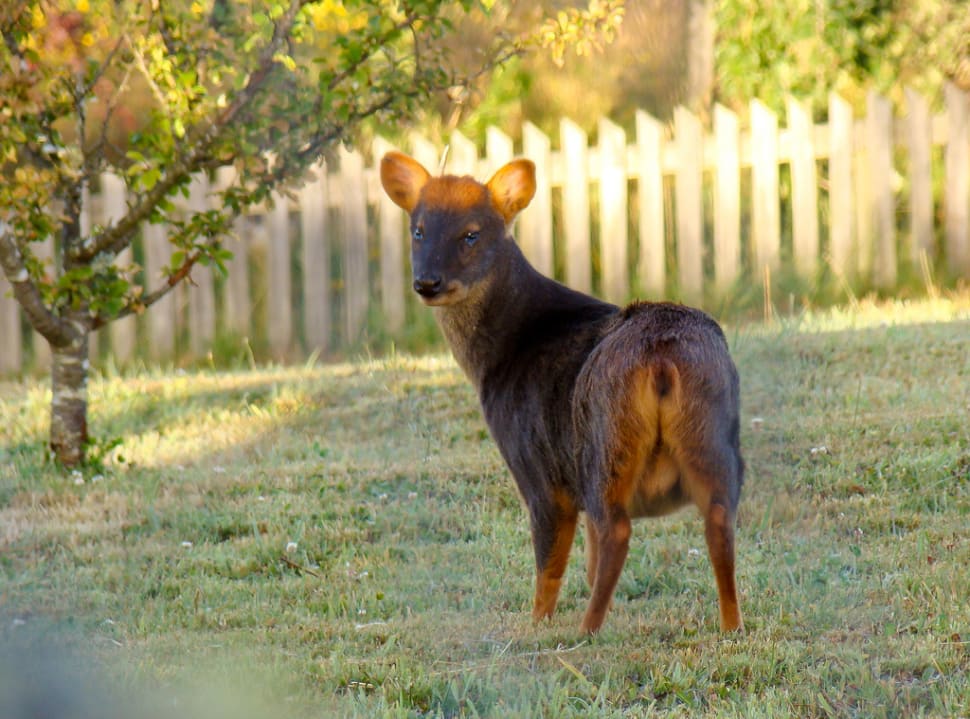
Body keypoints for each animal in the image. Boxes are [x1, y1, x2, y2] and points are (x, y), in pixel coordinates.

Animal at [380, 151, 744, 634]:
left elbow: (549, 560)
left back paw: (586, 630)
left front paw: (536, 623)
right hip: (712, 429)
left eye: (471, 233)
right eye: (418, 229)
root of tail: (661, 357)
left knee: (615, 529)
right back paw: (731, 625)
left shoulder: (536, 464)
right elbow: (586, 557)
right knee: (717, 519)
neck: (497, 355)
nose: (427, 283)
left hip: (602, 442)